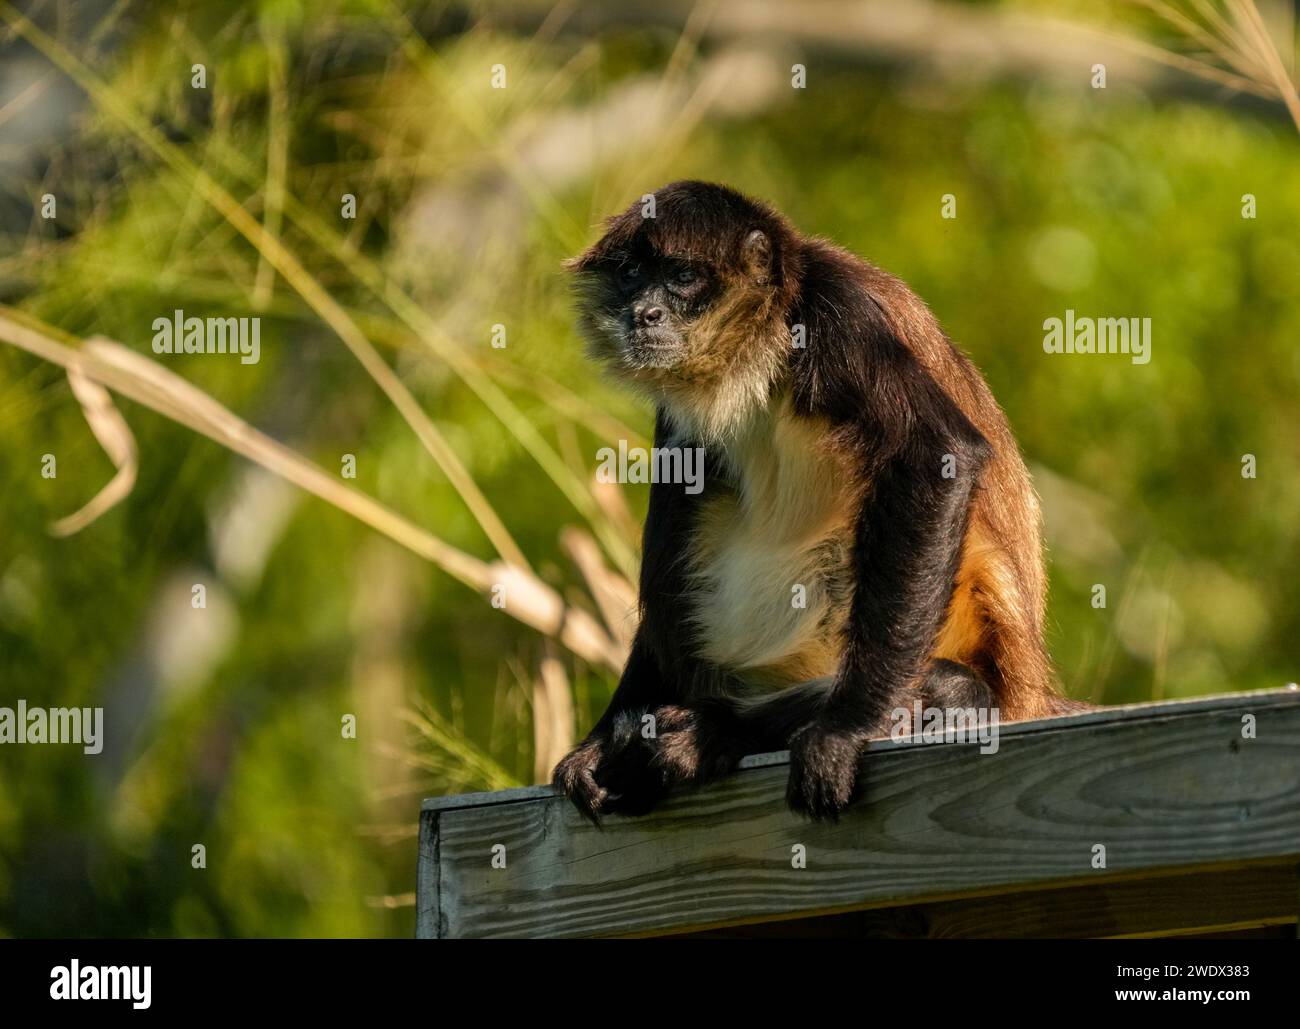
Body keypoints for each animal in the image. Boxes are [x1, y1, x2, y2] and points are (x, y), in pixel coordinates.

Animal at [553, 180, 1086, 822]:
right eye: (632, 274)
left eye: (683, 276)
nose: (644, 314)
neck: (760, 350)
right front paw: (598, 742)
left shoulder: (837, 314)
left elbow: (938, 455)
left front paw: (849, 728)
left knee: (955, 687)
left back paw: (708, 732)